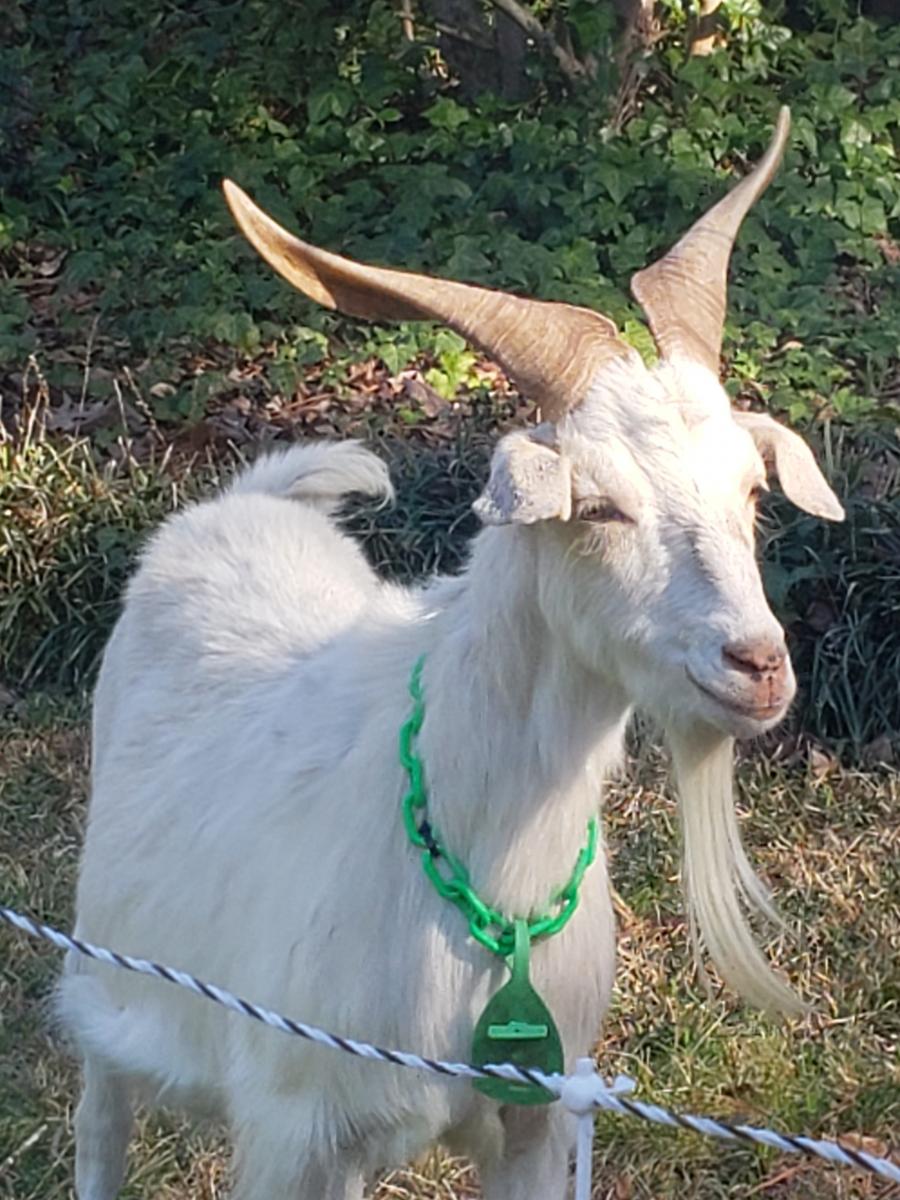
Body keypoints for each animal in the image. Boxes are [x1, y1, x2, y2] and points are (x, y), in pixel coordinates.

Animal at [59, 107, 843, 1200]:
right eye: (597, 506)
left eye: (753, 490)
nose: (757, 665)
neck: (492, 880)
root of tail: (245, 499)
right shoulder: (290, 1128)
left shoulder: (538, 1122)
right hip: (107, 982)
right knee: (99, 1120)